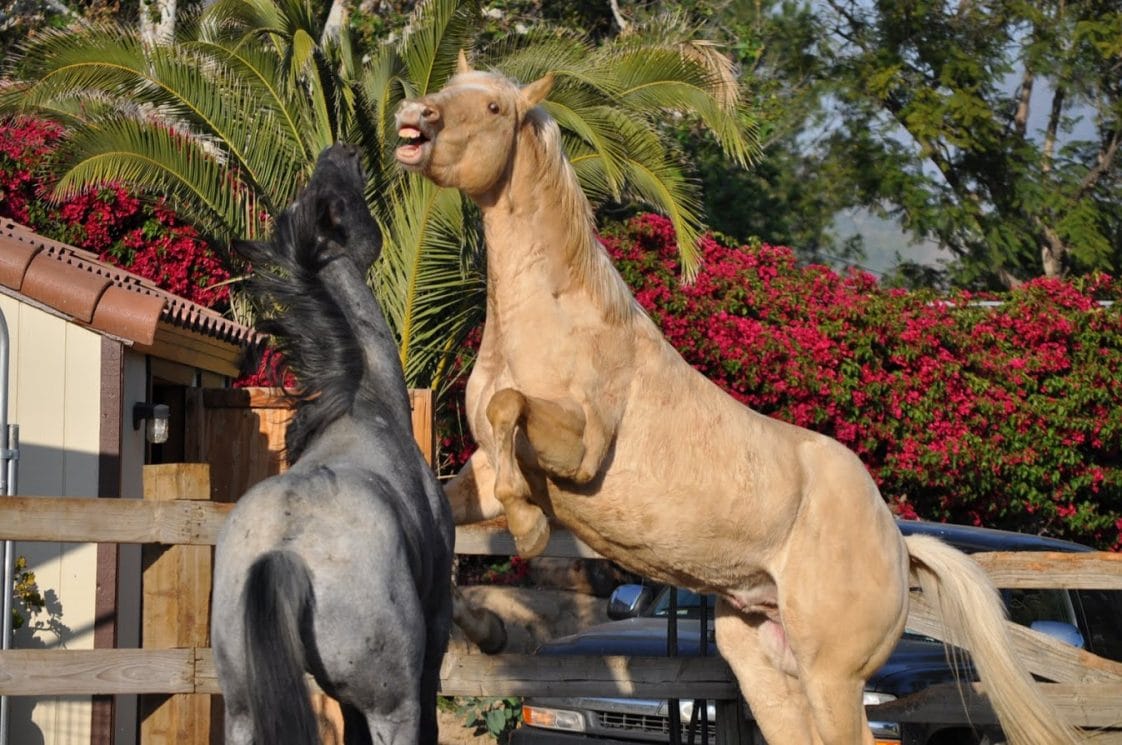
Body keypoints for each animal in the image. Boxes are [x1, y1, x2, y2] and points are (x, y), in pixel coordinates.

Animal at [211, 143, 454, 745]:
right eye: (343, 198)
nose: (340, 150)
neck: (363, 404)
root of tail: (283, 552)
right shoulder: (438, 626)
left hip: (242, 710)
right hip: (393, 705)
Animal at [393, 55, 1082, 745]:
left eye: (493, 108)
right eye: (450, 90)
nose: (413, 116)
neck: (558, 318)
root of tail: (898, 543)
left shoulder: (579, 453)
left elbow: (509, 409)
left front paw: (531, 530)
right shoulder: (486, 468)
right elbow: (446, 502)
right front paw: (486, 630)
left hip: (833, 676)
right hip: (761, 660)